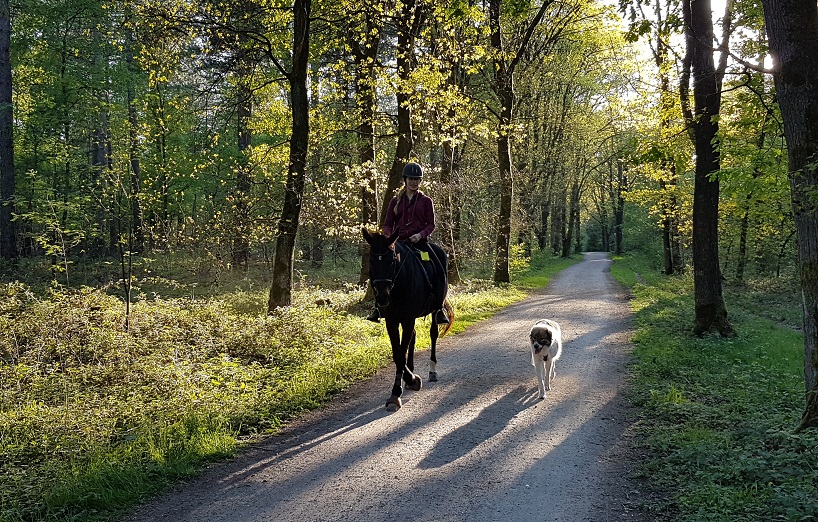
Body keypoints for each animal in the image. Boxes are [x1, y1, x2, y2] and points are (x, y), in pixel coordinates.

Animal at [362, 228, 454, 411]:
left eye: (392, 260)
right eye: (371, 261)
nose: (382, 297)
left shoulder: (407, 319)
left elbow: (401, 354)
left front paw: (400, 389)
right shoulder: (392, 321)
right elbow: (397, 353)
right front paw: (408, 381)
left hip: (434, 311)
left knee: (433, 334)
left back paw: (432, 371)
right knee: (413, 336)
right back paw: (411, 372)